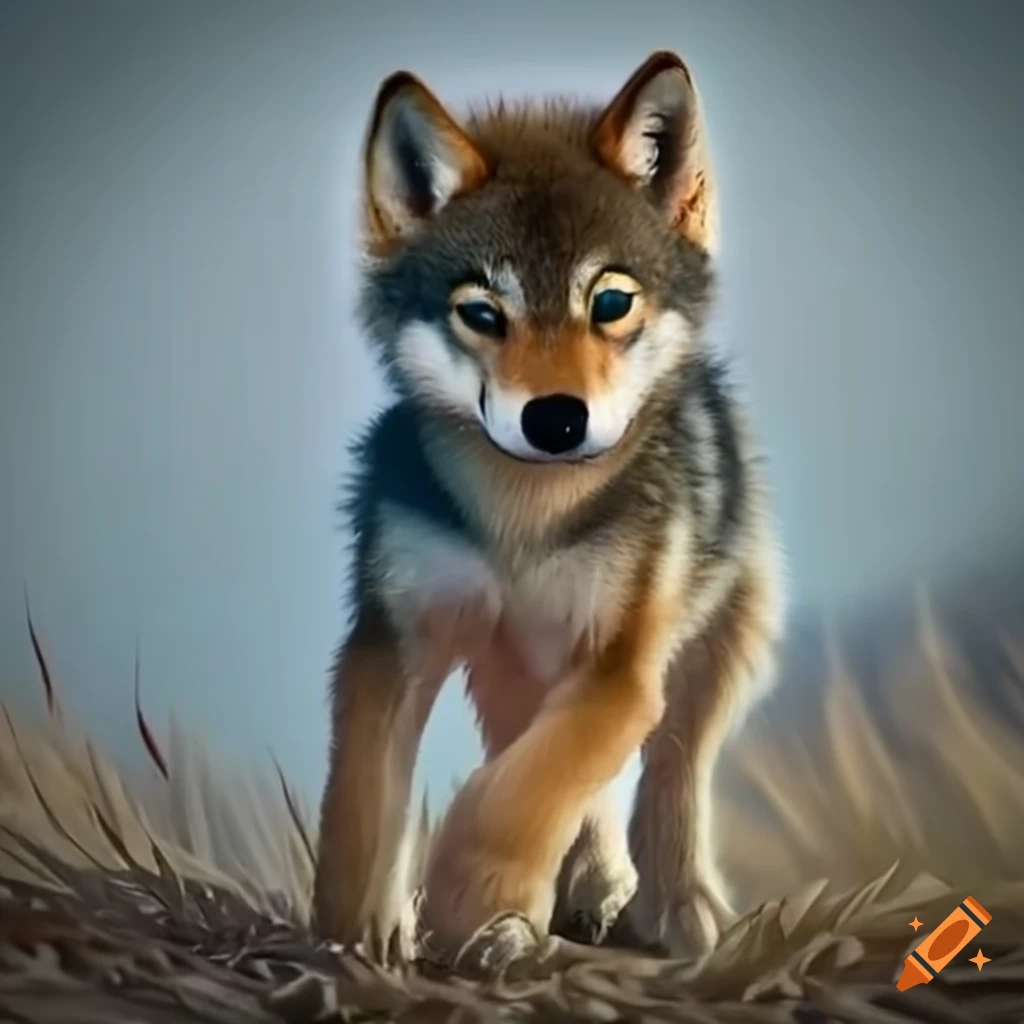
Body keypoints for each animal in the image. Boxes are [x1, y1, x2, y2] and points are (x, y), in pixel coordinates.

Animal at [313, 50, 785, 964]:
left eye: (610, 302)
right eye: (481, 313)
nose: (557, 420)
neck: (523, 522)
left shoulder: (621, 669)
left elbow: (516, 795)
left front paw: (465, 900)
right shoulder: (390, 647)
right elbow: (365, 815)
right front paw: (358, 941)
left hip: (709, 658)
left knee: (671, 771)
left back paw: (678, 910)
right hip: (514, 673)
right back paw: (580, 898)